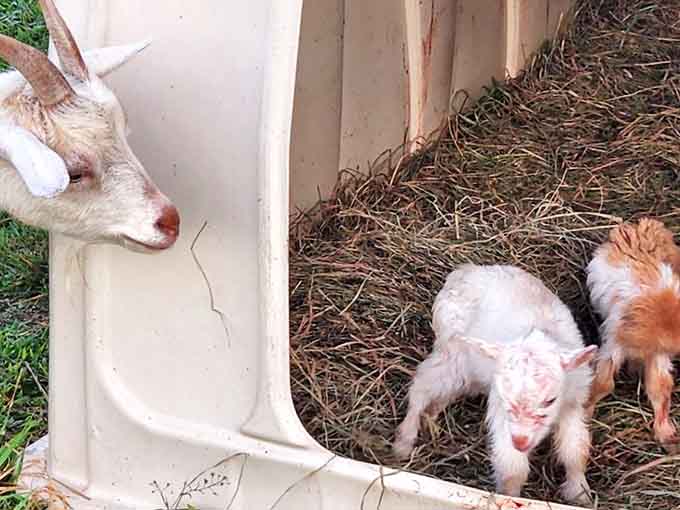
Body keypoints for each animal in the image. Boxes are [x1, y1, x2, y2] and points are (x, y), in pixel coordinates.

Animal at [394, 264, 597, 505]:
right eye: (506, 397)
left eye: (550, 400)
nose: (521, 442)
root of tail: (464, 271)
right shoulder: (502, 413)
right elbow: (512, 467)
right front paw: (509, 496)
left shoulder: (573, 404)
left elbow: (576, 449)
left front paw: (580, 492)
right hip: (453, 353)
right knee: (422, 386)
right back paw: (404, 441)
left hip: (469, 369)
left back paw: (430, 418)